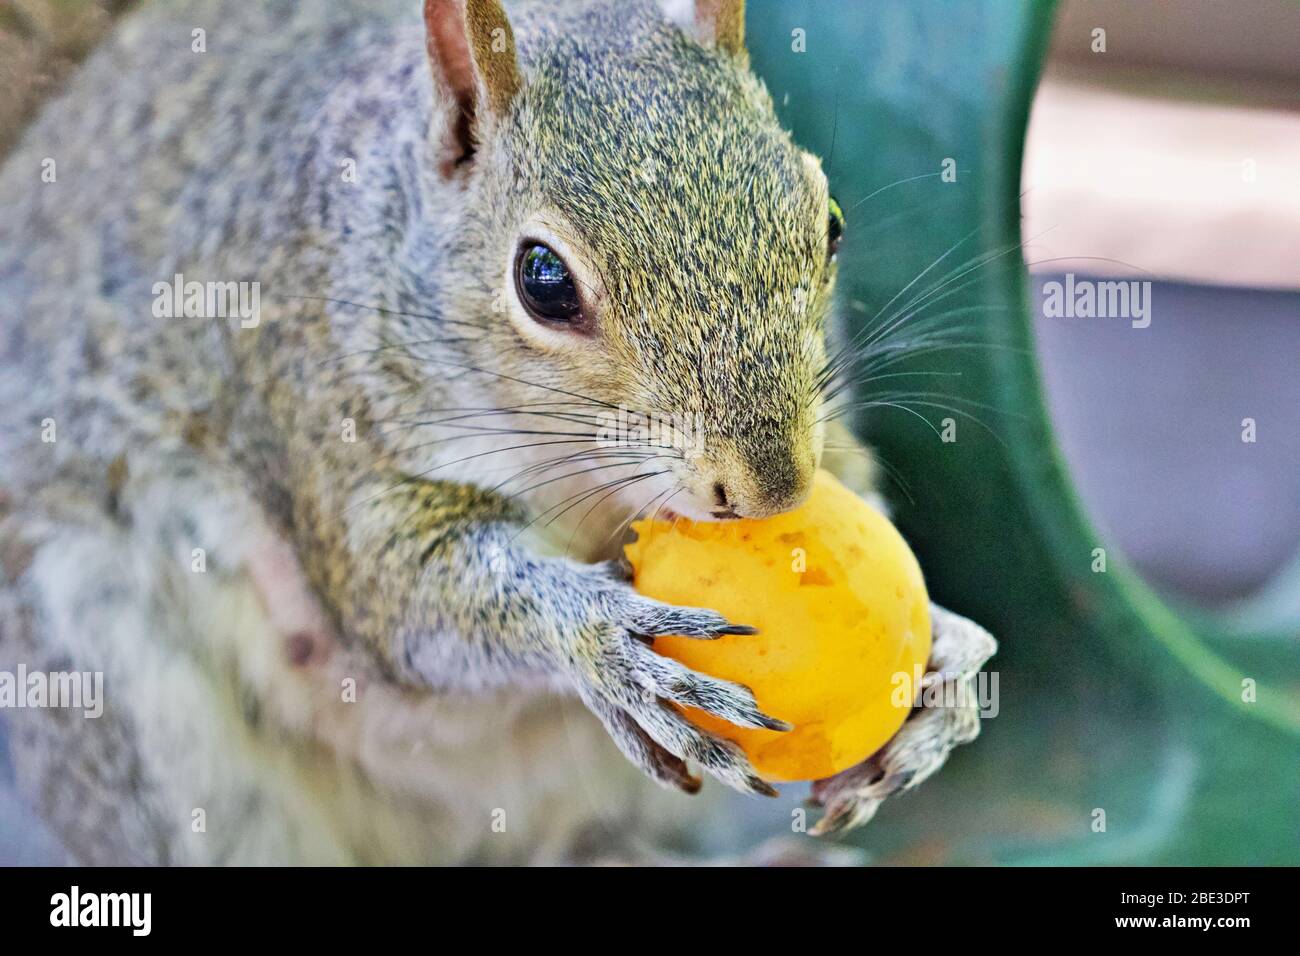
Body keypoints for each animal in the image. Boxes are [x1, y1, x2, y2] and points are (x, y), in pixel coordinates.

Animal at [0, 0, 996, 864]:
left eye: (828, 222)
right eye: (543, 280)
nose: (771, 487)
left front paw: (948, 661)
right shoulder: (326, 419)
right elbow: (410, 598)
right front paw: (598, 636)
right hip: (113, 692)